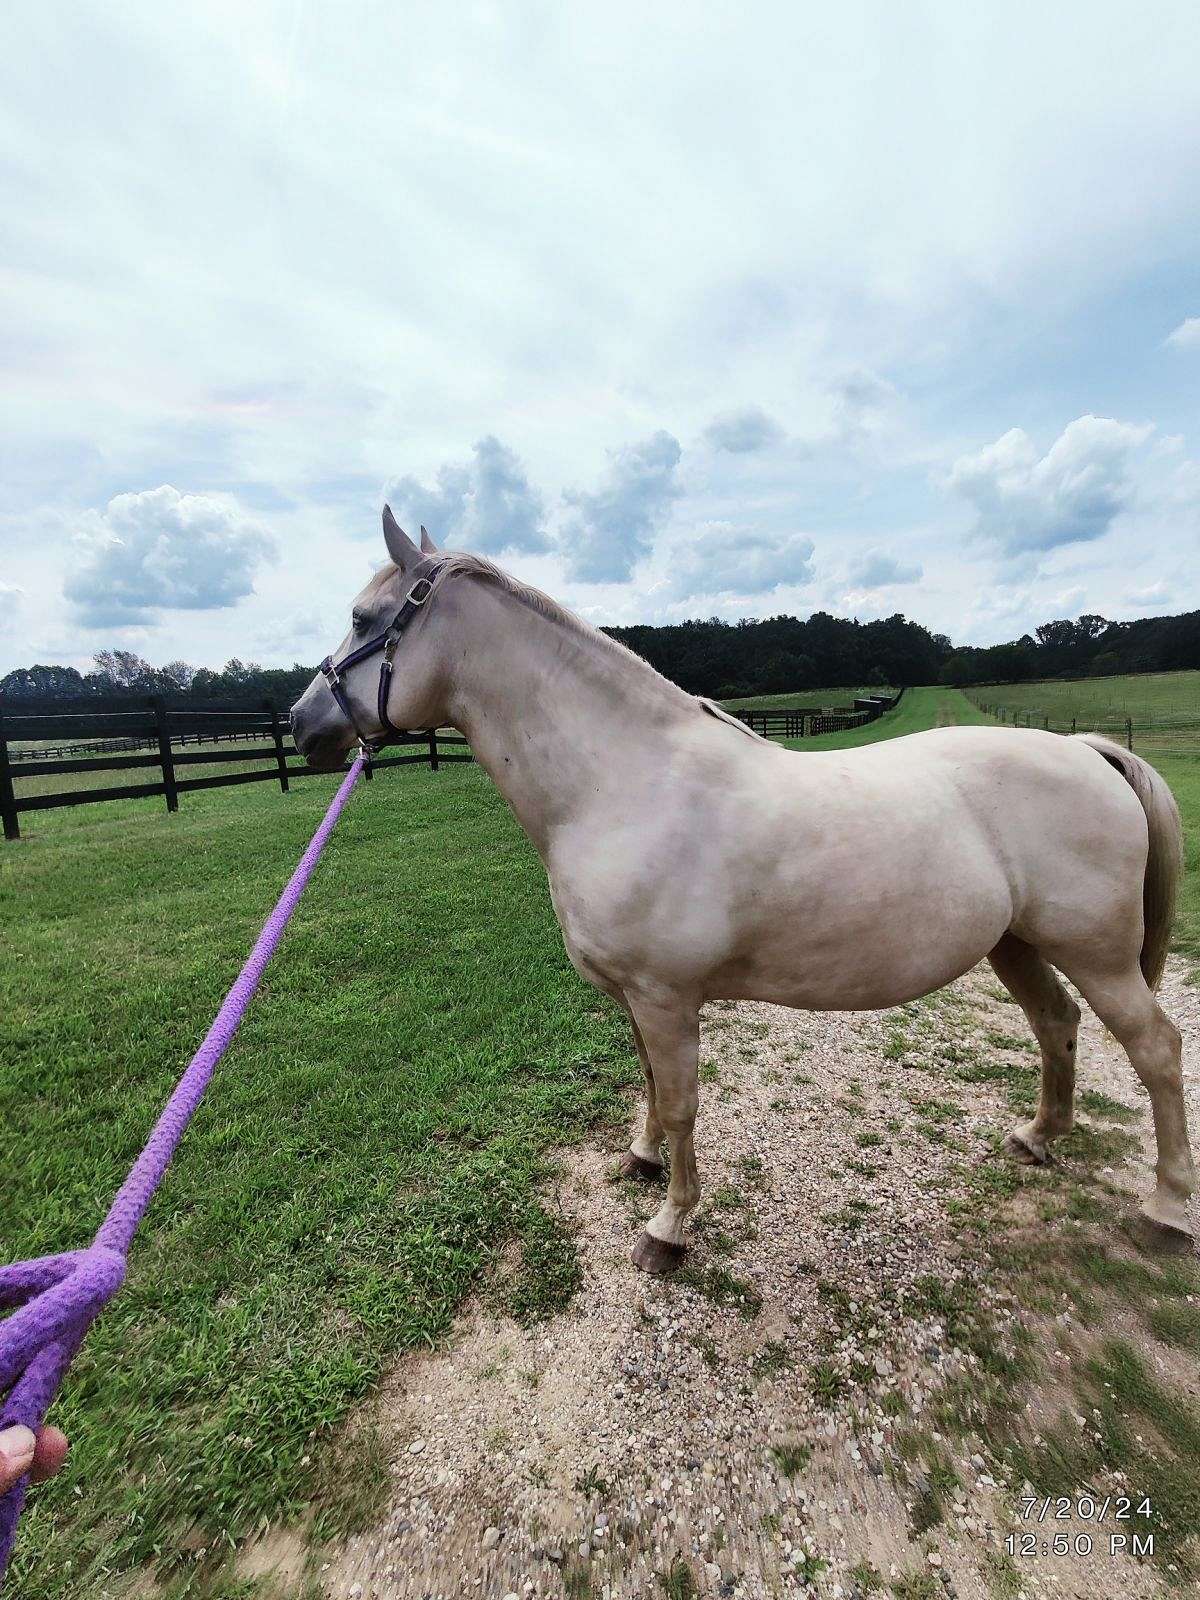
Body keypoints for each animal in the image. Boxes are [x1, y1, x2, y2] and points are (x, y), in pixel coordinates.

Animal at [290, 508, 1195, 1273]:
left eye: (366, 621)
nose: (301, 727)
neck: (623, 784)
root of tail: (1088, 750)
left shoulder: (665, 996)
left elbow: (685, 1104)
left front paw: (668, 1228)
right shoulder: (634, 998)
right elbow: (654, 1089)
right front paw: (641, 1160)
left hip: (1097, 954)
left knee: (1156, 1049)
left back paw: (1165, 1210)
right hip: (1016, 944)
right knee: (1056, 1023)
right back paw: (1039, 1138)